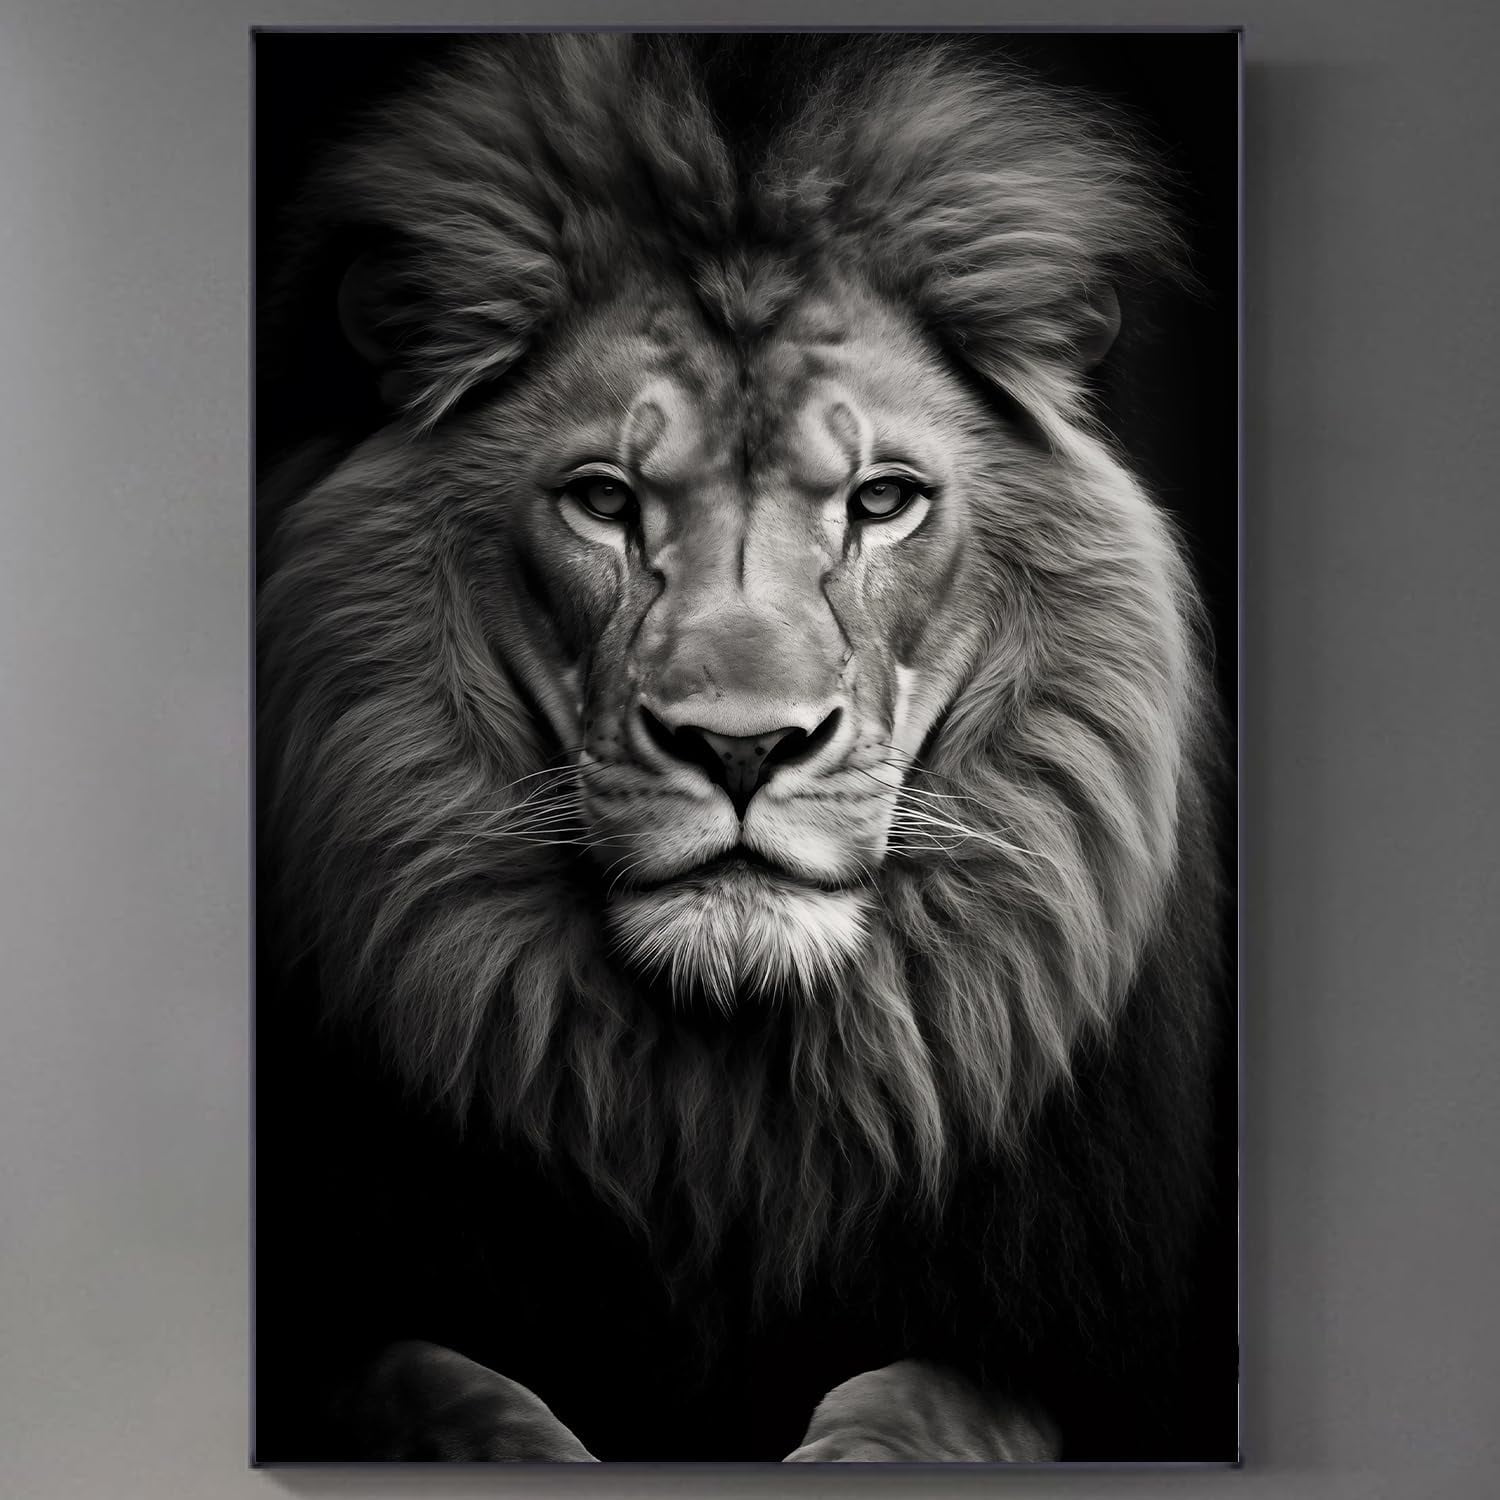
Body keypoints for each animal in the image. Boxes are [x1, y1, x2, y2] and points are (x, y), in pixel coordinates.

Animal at [255, 34, 1230, 1463]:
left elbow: (923, 1398)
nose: (743, 748)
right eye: (602, 500)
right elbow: (435, 1385)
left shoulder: (1067, 1346)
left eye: (884, 500)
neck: (726, 1119)